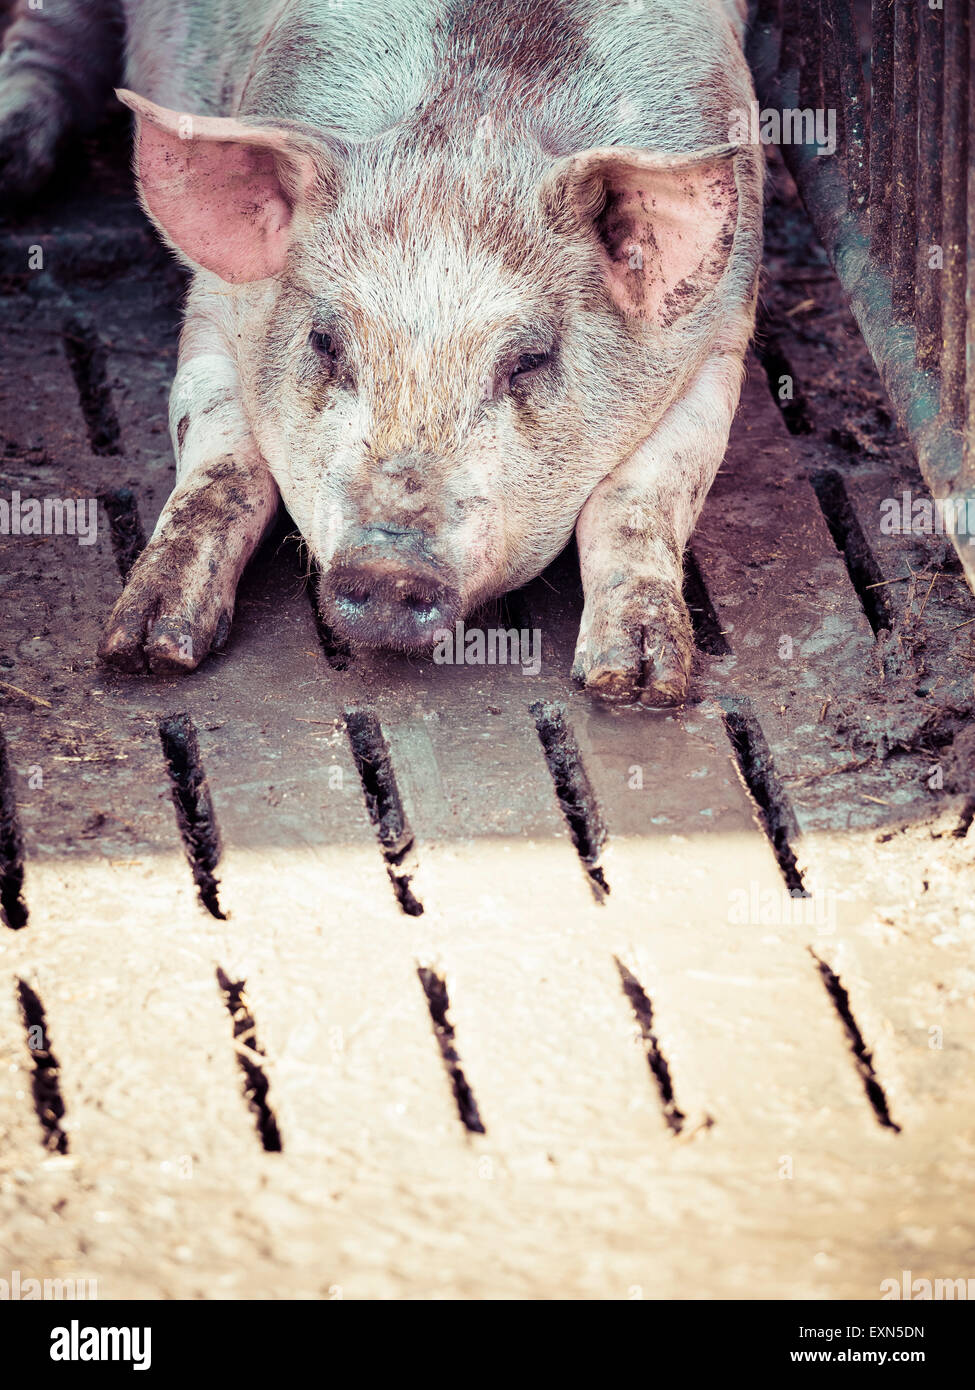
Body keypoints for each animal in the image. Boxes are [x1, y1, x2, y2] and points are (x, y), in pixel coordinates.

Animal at [0, 0, 762, 705]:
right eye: (324, 341)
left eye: (530, 360)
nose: (389, 568)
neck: (481, 124)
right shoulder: (216, 302)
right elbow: (222, 462)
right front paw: (145, 649)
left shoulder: (721, 333)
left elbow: (645, 492)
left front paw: (635, 683)